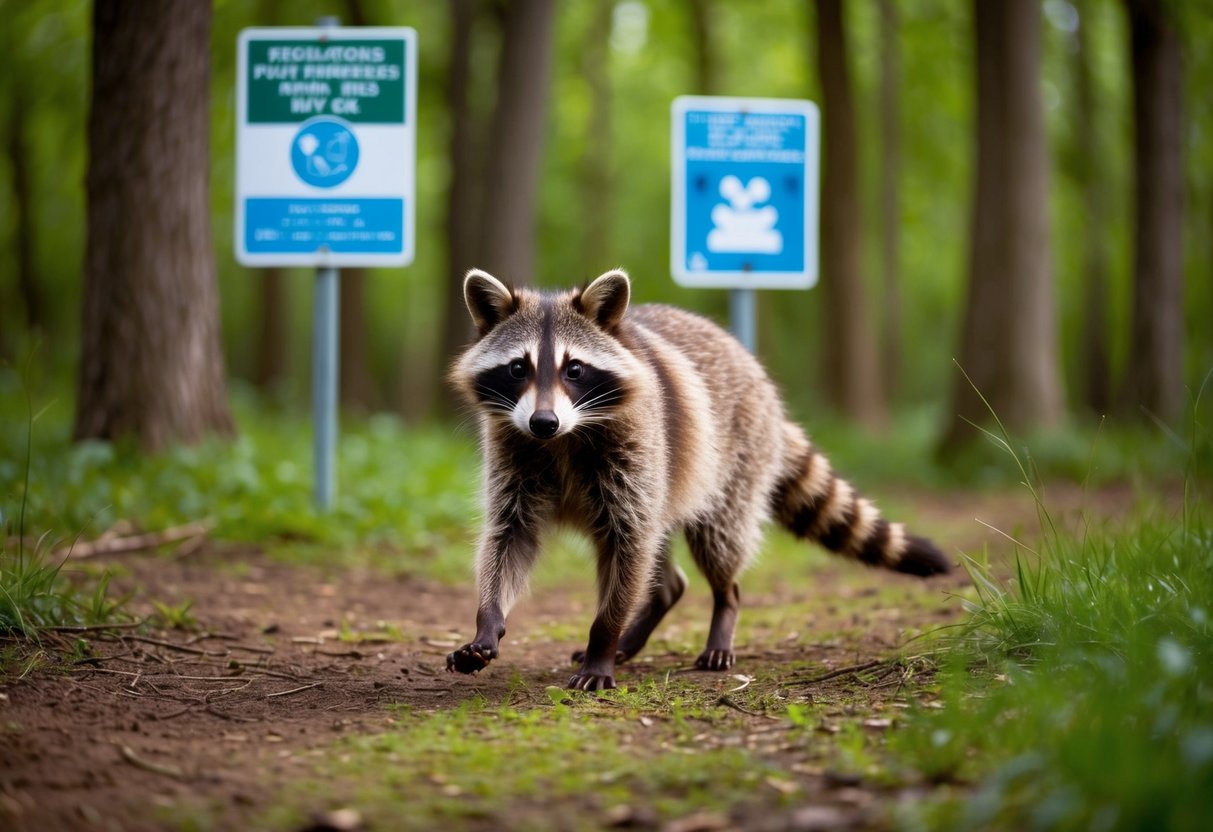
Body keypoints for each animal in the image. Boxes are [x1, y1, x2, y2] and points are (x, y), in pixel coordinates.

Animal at [446, 268, 950, 691]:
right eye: (518, 368)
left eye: (574, 369)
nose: (543, 422)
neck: (563, 440)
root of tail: (758, 376)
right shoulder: (516, 456)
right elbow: (509, 537)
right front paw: (487, 618)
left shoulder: (634, 451)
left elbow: (629, 547)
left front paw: (603, 640)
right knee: (659, 561)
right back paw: (648, 617)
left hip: (731, 467)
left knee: (717, 544)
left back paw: (722, 609)